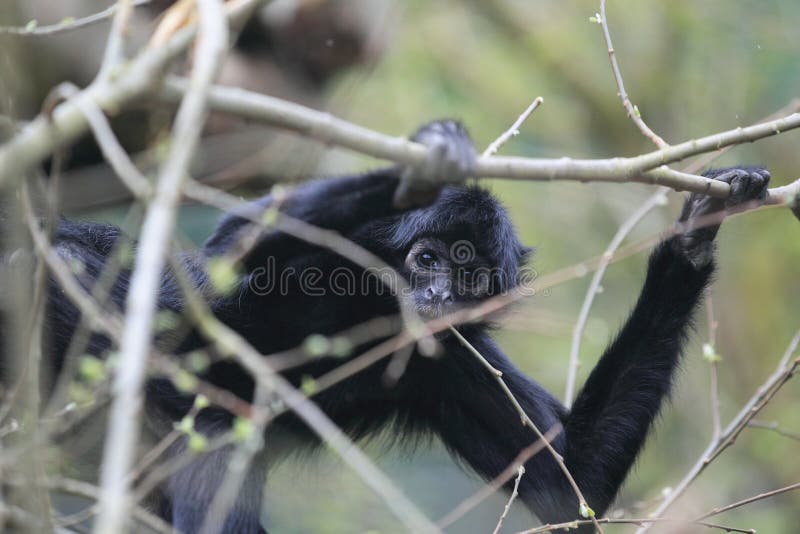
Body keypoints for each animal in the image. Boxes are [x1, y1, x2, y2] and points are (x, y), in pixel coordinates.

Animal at [2, 120, 770, 532]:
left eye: (469, 276)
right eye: (427, 258)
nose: (435, 291)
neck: (374, 314)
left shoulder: (448, 354)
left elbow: (569, 479)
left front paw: (694, 236)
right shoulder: (327, 261)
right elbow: (232, 247)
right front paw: (427, 163)